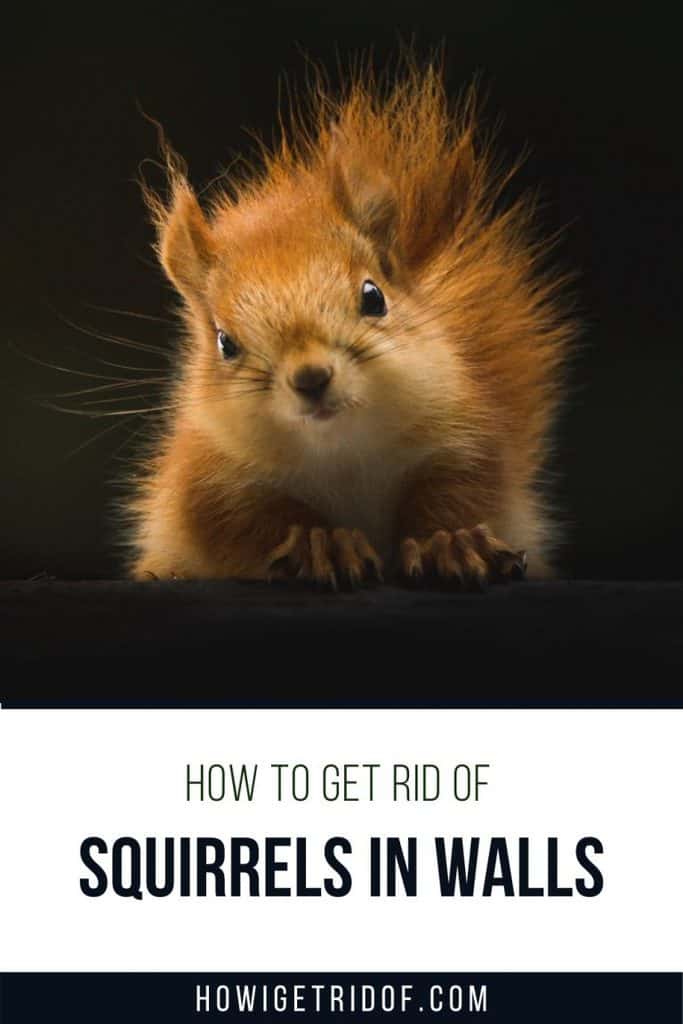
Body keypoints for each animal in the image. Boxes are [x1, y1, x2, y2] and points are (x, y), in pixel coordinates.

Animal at [125, 62, 574, 588]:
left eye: (373, 297)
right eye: (225, 343)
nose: (311, 377)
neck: (342, 452)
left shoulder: (463, 437)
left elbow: (460, 492)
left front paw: (451, 541)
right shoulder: (209, 480)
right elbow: (247, 522)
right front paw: (322, 544)